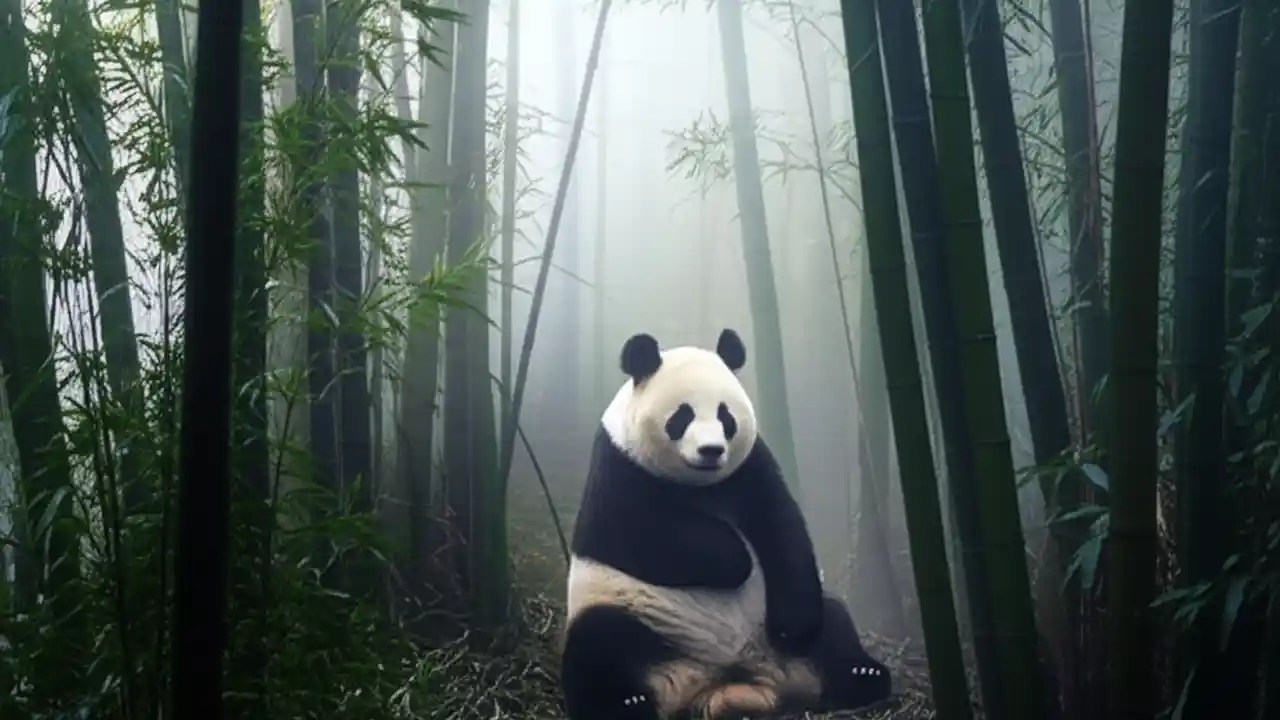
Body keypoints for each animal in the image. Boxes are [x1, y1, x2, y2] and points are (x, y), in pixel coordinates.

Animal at [560, 328, 892, 719]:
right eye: (682, 416)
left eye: (725, 416)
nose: (711, 450)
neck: (699, 483)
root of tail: (726, 678)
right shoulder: (618, 466)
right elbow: (639, 534)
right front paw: (734, 558)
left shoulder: (751, 467)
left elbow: (782, 526)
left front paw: (791, 627)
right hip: (631, 614)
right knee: (598, 646)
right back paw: (625, 703)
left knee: (834, 623)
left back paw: (863, 675)